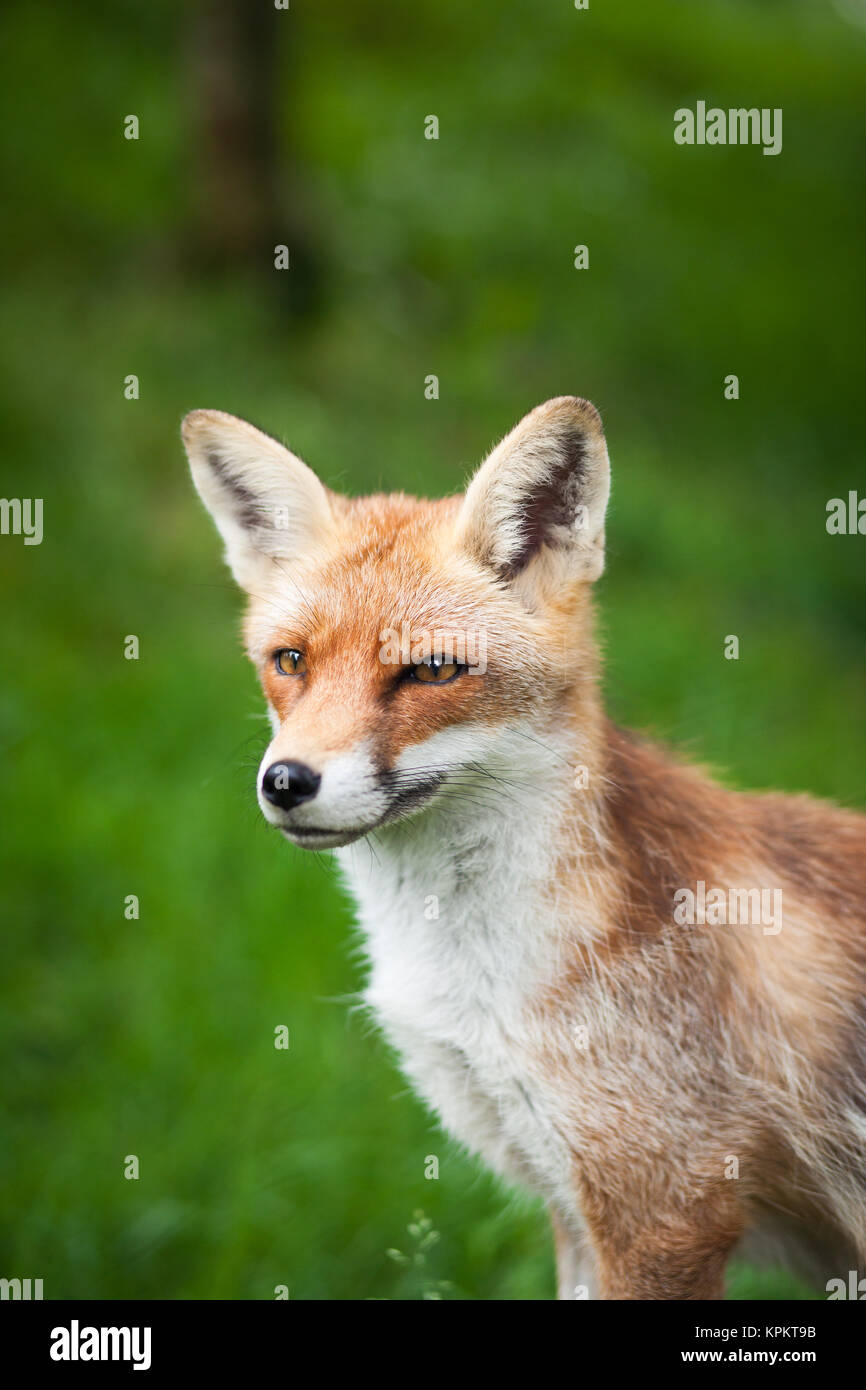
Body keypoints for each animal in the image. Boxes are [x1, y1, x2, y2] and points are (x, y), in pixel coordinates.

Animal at [182, 396, 866, 1300]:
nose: (287, 781)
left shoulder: (666, 1214)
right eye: (289, 661)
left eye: (433, 671)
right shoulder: (572, 1206)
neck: (471, 978)